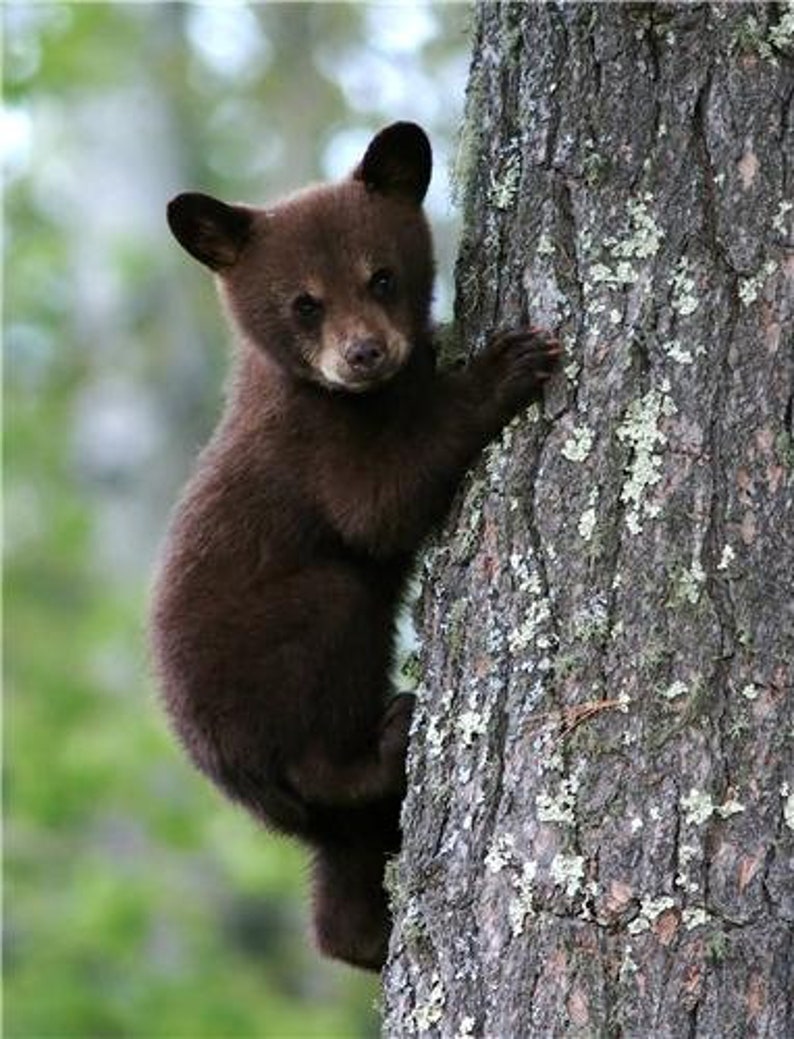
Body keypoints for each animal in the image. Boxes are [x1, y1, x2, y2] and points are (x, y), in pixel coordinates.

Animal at [149, 122, 561, 971]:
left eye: (382, 277)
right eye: (304, 303)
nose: (364, 353)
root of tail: (229, 776)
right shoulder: (313, 444)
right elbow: (380, 505)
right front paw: (504, 366)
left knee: (341, 876)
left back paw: (364, 934)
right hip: (276, 664)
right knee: (328, 673)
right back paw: (388, 737)